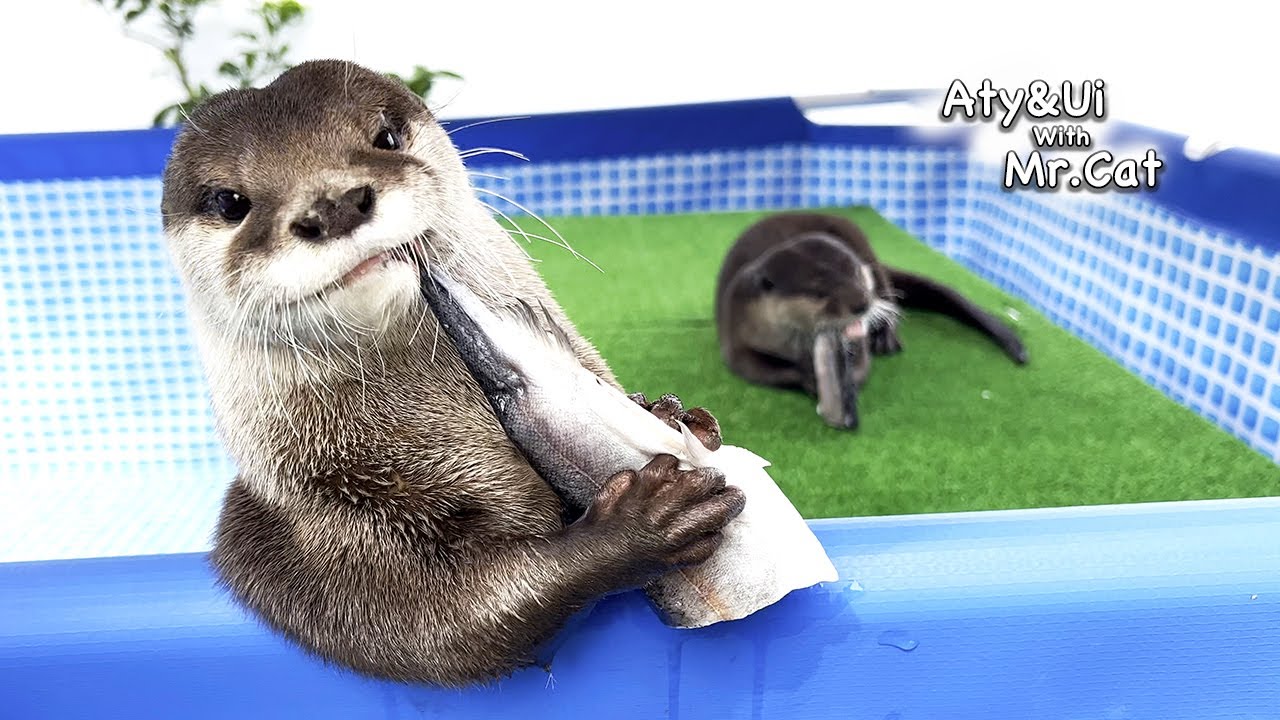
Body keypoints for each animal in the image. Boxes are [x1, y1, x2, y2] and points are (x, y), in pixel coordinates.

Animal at [160, 59, 743, 688]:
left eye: (386, 137)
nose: (333, 203)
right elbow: (435, 626)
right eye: (230, 201)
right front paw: (642, 523)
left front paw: (674, 416)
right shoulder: (325, 535)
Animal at [715, 211, 1028, 429]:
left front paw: (843, 389)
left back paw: (887, 337)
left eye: (855, 272)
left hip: (865, 248)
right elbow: (760, 369)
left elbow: (862, 366)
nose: (862, 303)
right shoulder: (736, 334)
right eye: (818, 291)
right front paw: (808, 377)